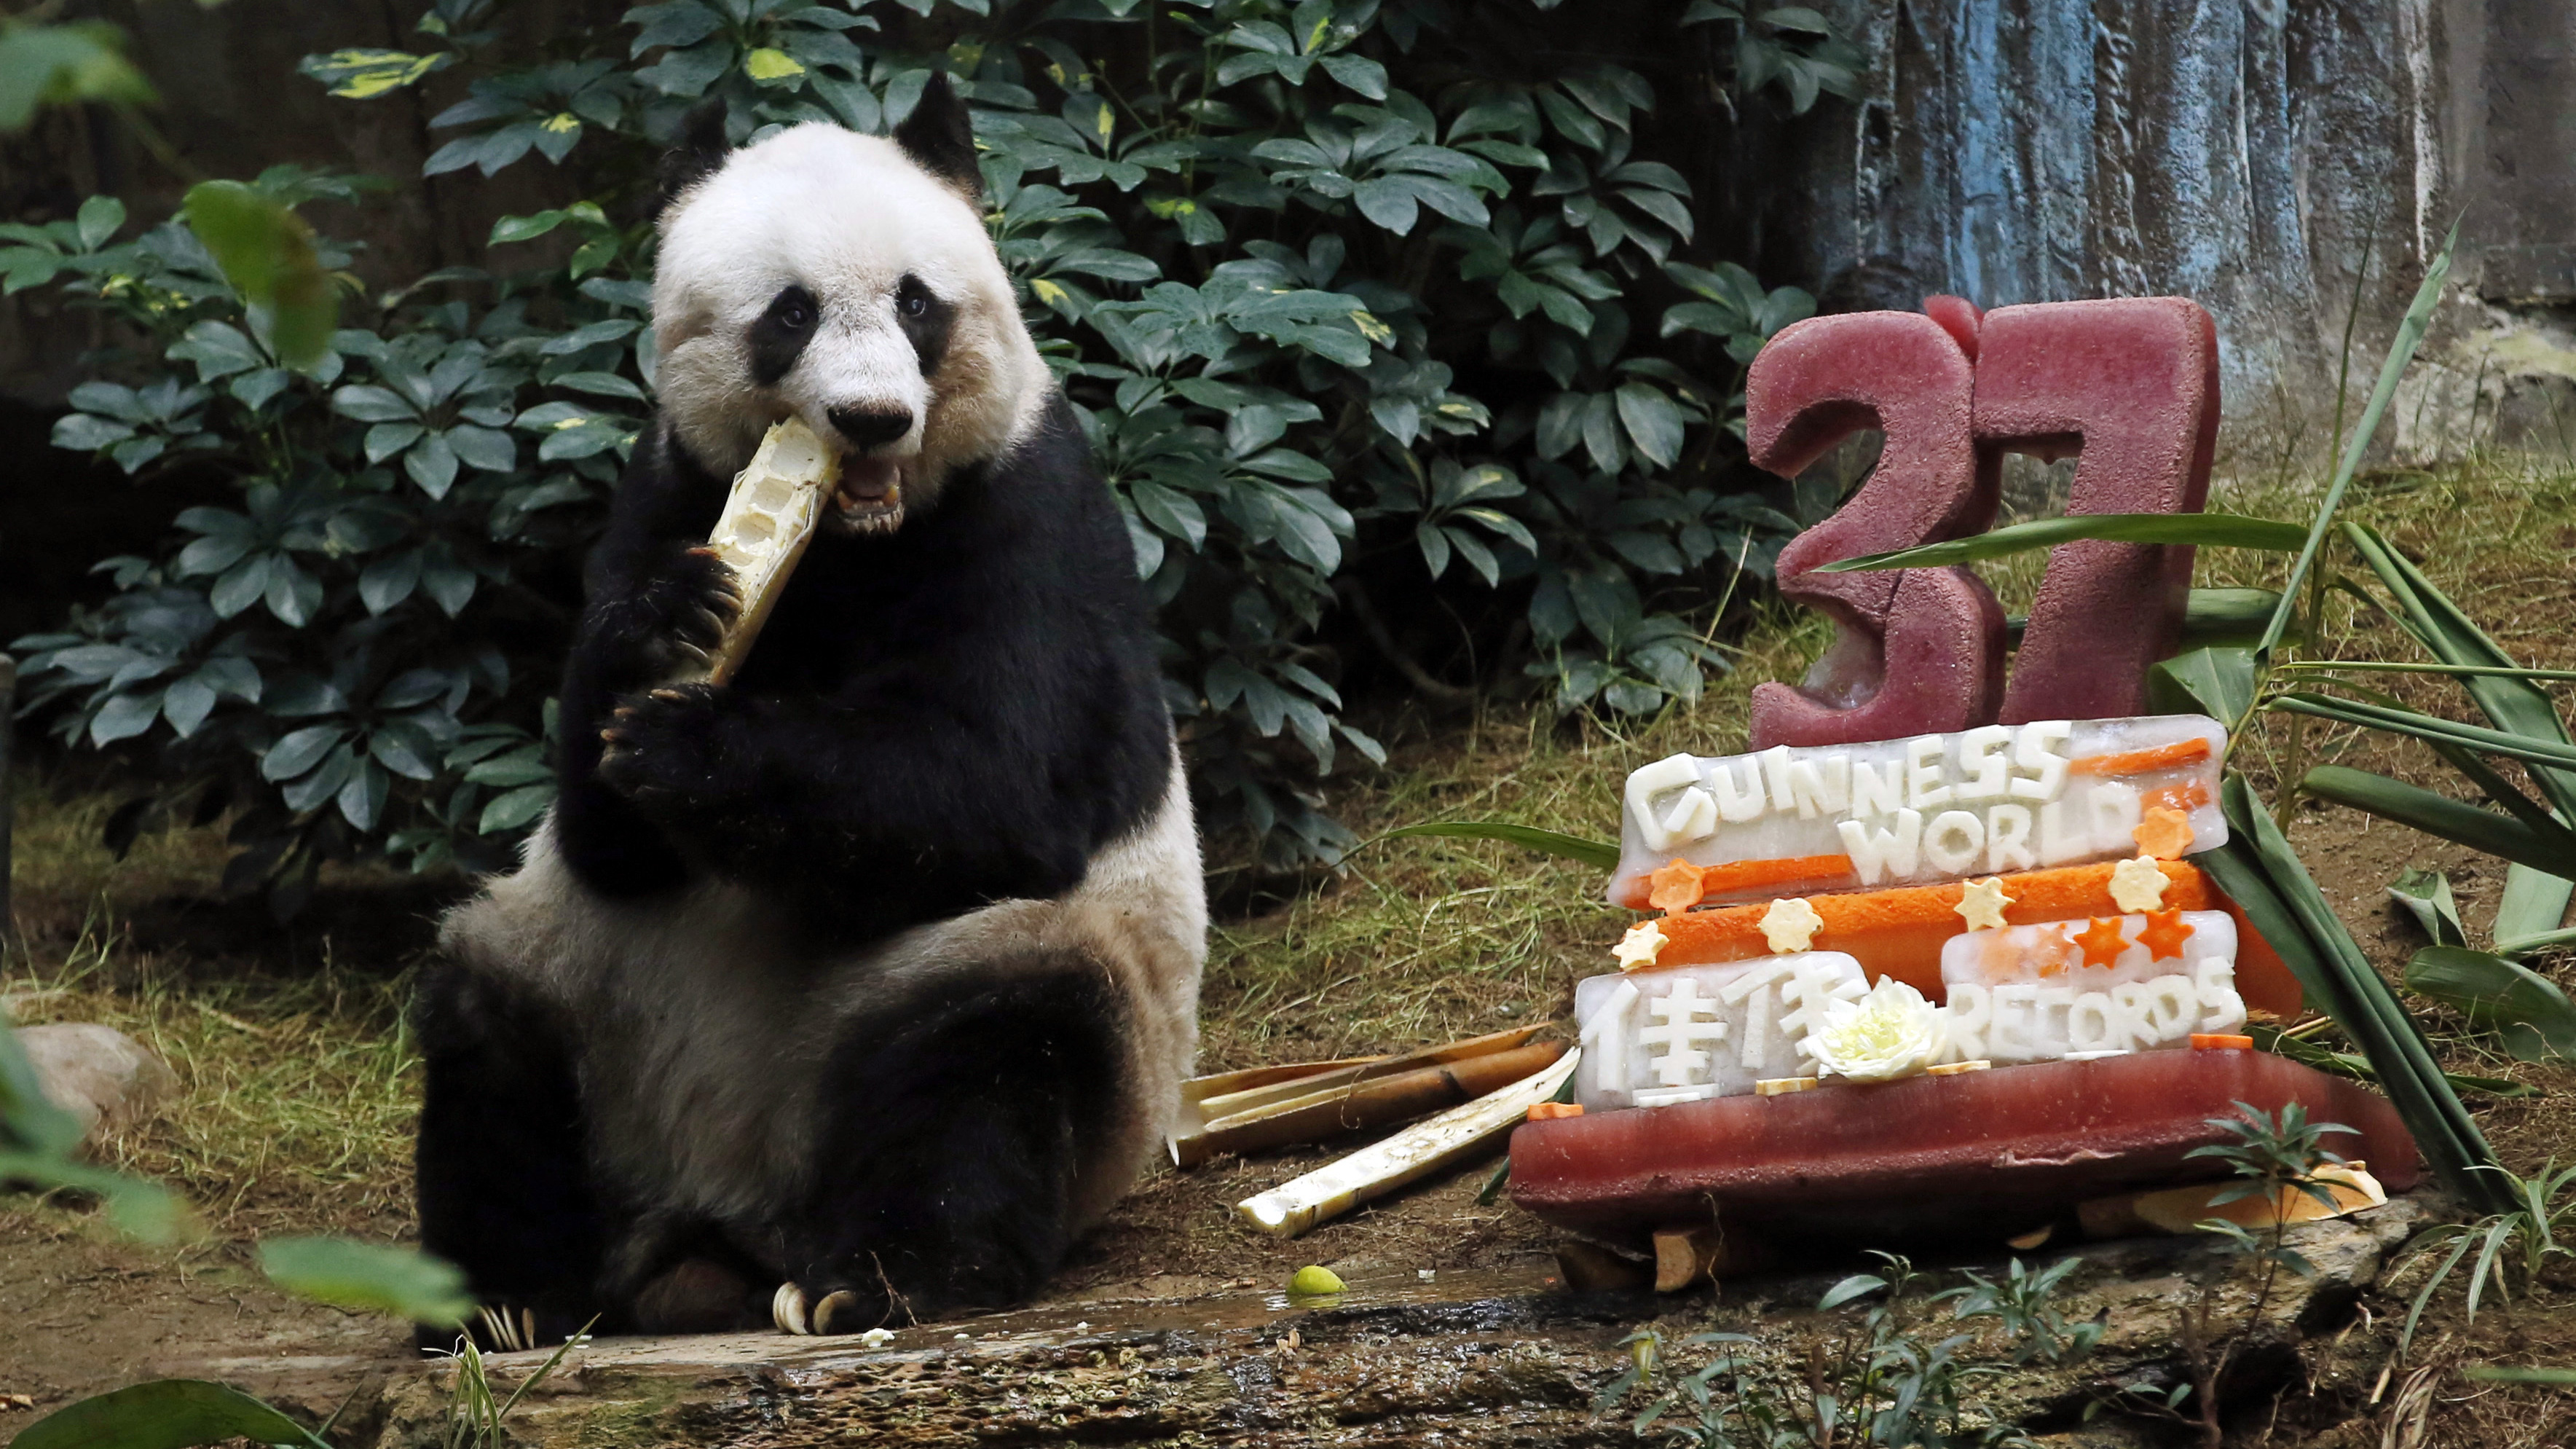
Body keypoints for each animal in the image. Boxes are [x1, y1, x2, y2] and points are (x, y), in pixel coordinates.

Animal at [414, 76, 1205, 1340]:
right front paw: (662, 633)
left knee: (998, 1043)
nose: (873, 419)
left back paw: (881, 1276)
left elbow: (998, 784)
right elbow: (601, 835)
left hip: (992, 998)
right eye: (788, 314)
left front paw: (689, 748)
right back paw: (500, 1302)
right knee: (492, 1034)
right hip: (588, 998)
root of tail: (727, 1213)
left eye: (918, 301)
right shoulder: (668, 483)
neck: (849, 540)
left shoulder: (1031, 511)